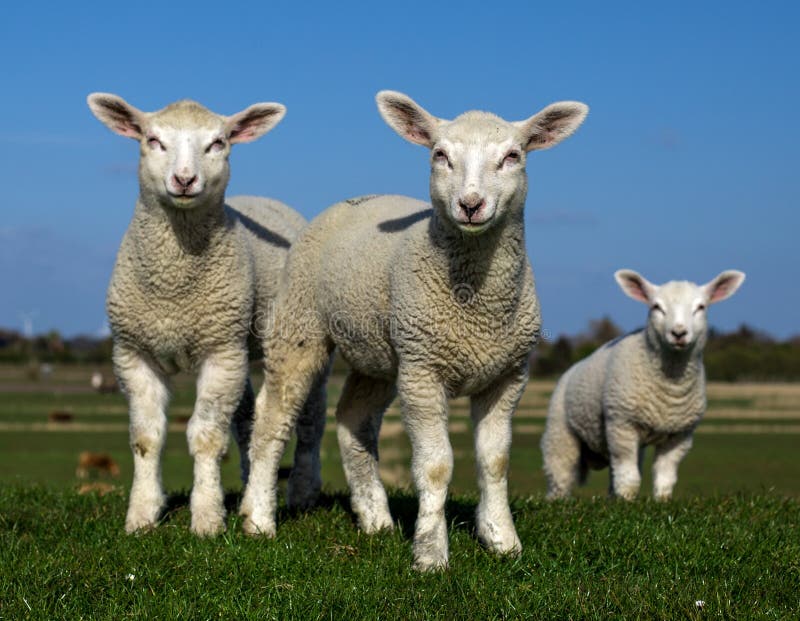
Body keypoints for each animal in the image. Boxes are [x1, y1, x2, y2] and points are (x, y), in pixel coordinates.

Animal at [87, 93, 308, 536]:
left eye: (218, 143)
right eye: (153, 140)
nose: (185, 180)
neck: (174, 287)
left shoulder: (219, 353)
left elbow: (206, 436)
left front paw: (206, 518)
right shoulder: (133, 353)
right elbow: (147, 438)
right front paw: (142, 515)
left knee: (309, 424)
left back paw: (302, 491)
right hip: (239, 352)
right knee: (246, 421)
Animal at [240, 90, 588, 570]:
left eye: (512, 157)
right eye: (440, 155)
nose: (471, 205)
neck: (475, 303)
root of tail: (358, 198)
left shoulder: (508, 374)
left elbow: (495, 461)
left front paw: (502, 540)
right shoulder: (423, 371)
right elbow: (436, 466)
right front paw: (430, 554)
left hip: (380, 354)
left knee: (353, 419)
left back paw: (375, 518)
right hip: (300, 324)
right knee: (272, 418)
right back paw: (257, 520)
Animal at [541, 269, 746, 501]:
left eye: (701, 307)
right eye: (656, 307)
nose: (679, 333)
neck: (671, 384)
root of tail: (571, 370)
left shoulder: (679, 435)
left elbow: (665, 475)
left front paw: (661, 501)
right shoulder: (622, 425)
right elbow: (629, 477)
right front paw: (627, 502)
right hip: (560, 433)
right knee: (560, 474)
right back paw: (559, 501)